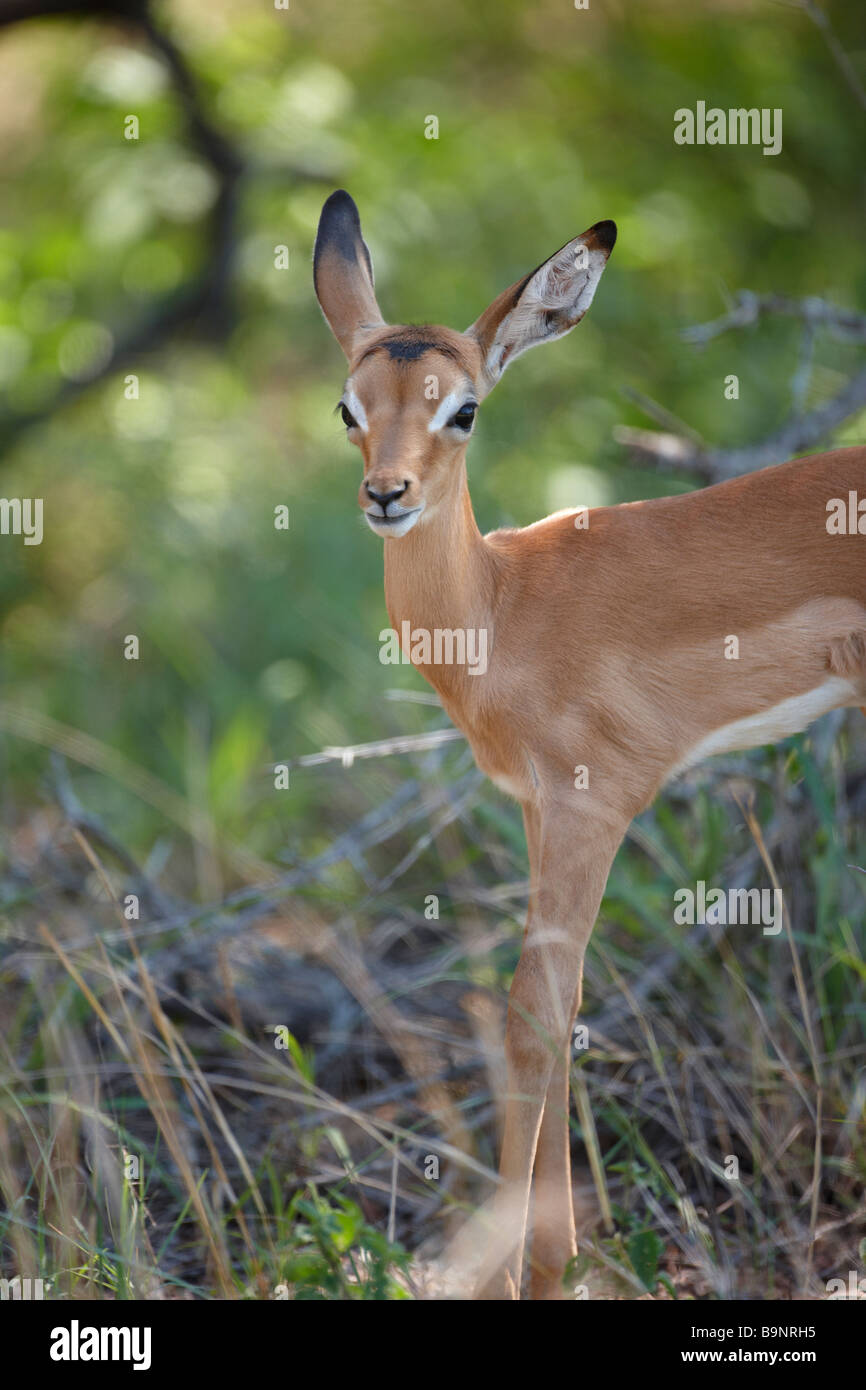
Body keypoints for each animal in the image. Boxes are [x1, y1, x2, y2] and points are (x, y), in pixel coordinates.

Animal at [313, 189, 866, 1300]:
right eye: (349, 408)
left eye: (463, 408)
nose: (386, 495)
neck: (502, 607)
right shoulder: (536, 810)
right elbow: (560, 1012)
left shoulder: (589, 805)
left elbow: (531, 1015)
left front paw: (537, 1272)